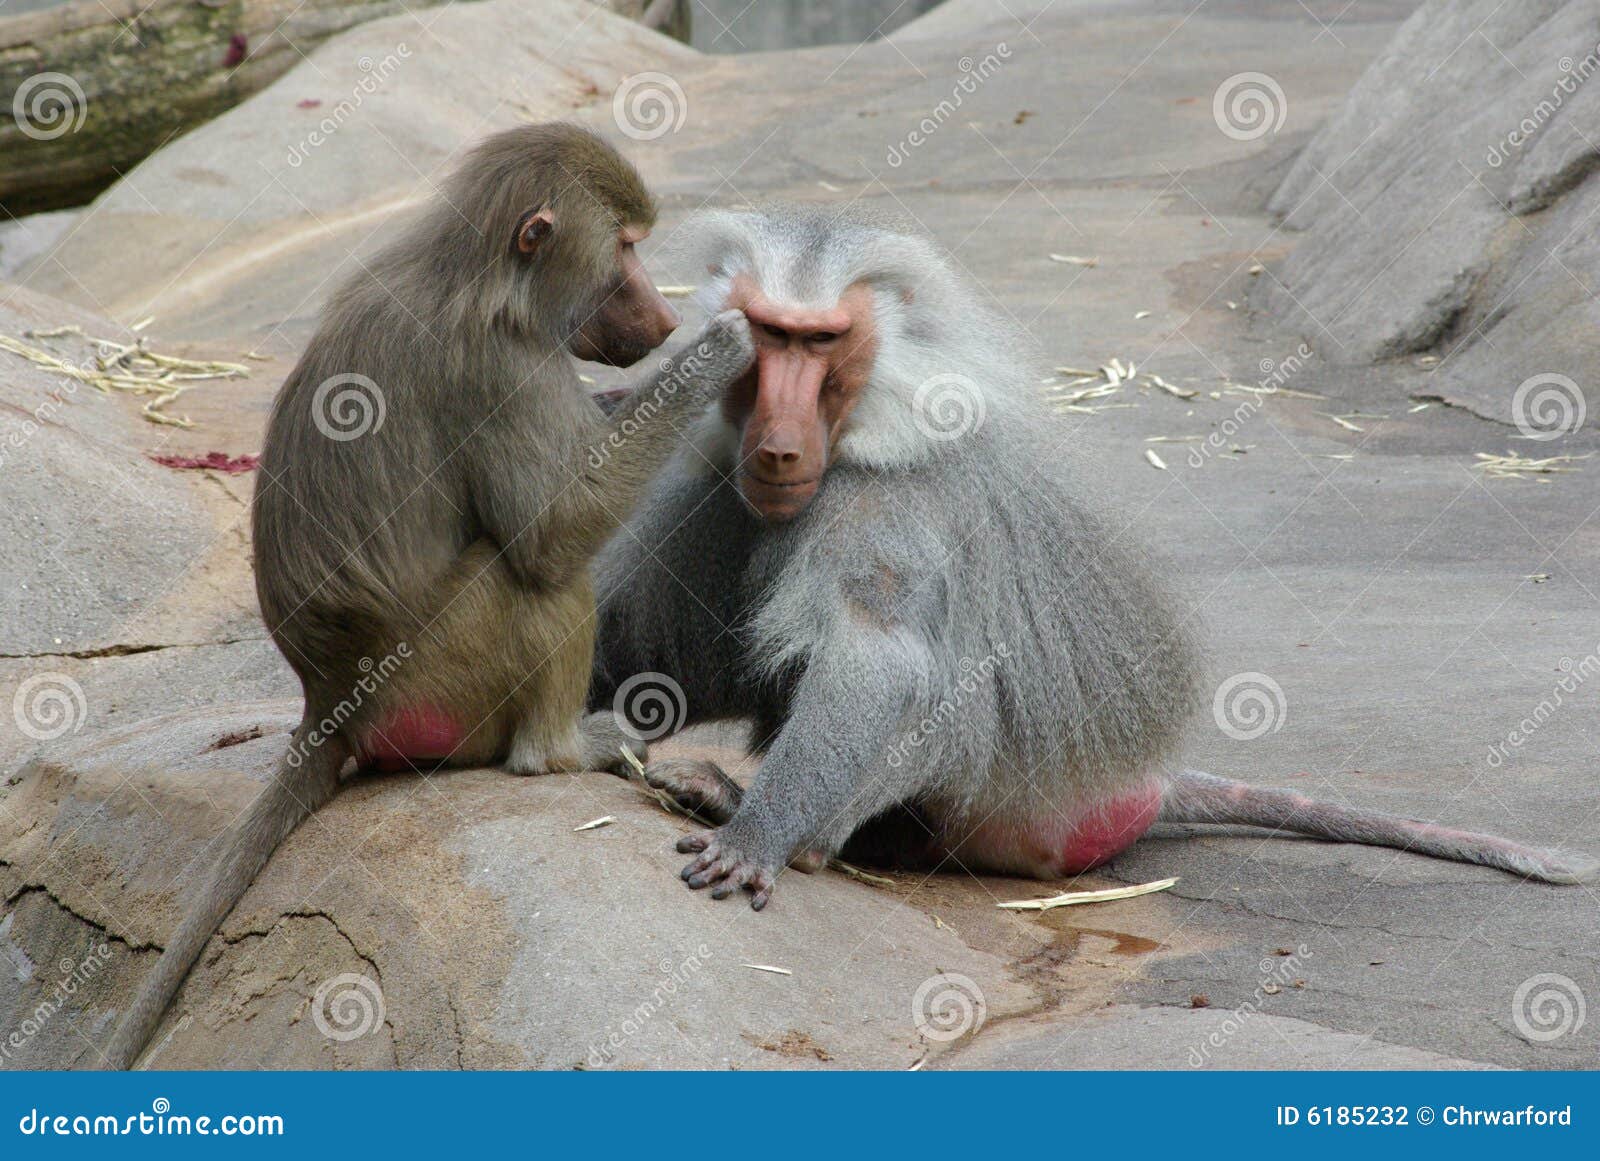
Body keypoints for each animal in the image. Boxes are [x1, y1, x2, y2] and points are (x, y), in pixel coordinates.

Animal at [102, 123, 755, 1067]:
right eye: (627, 248)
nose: (666, 321)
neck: (481, 275)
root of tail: (326, 697)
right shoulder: (506, 369)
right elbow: (556, 526)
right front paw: (720, 352)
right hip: (447, 671)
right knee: (537, 578)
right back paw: (565, 750)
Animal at [589, 205, 1598, 910]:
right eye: (766, 335)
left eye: (821, 341)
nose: (779, 447)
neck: (872, 423)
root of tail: (1135, 780)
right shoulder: (722, 479)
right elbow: (667, 642)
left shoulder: (886, 509)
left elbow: (883, 660)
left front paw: (756, 837)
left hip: (1021, 816)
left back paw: (751, 811)